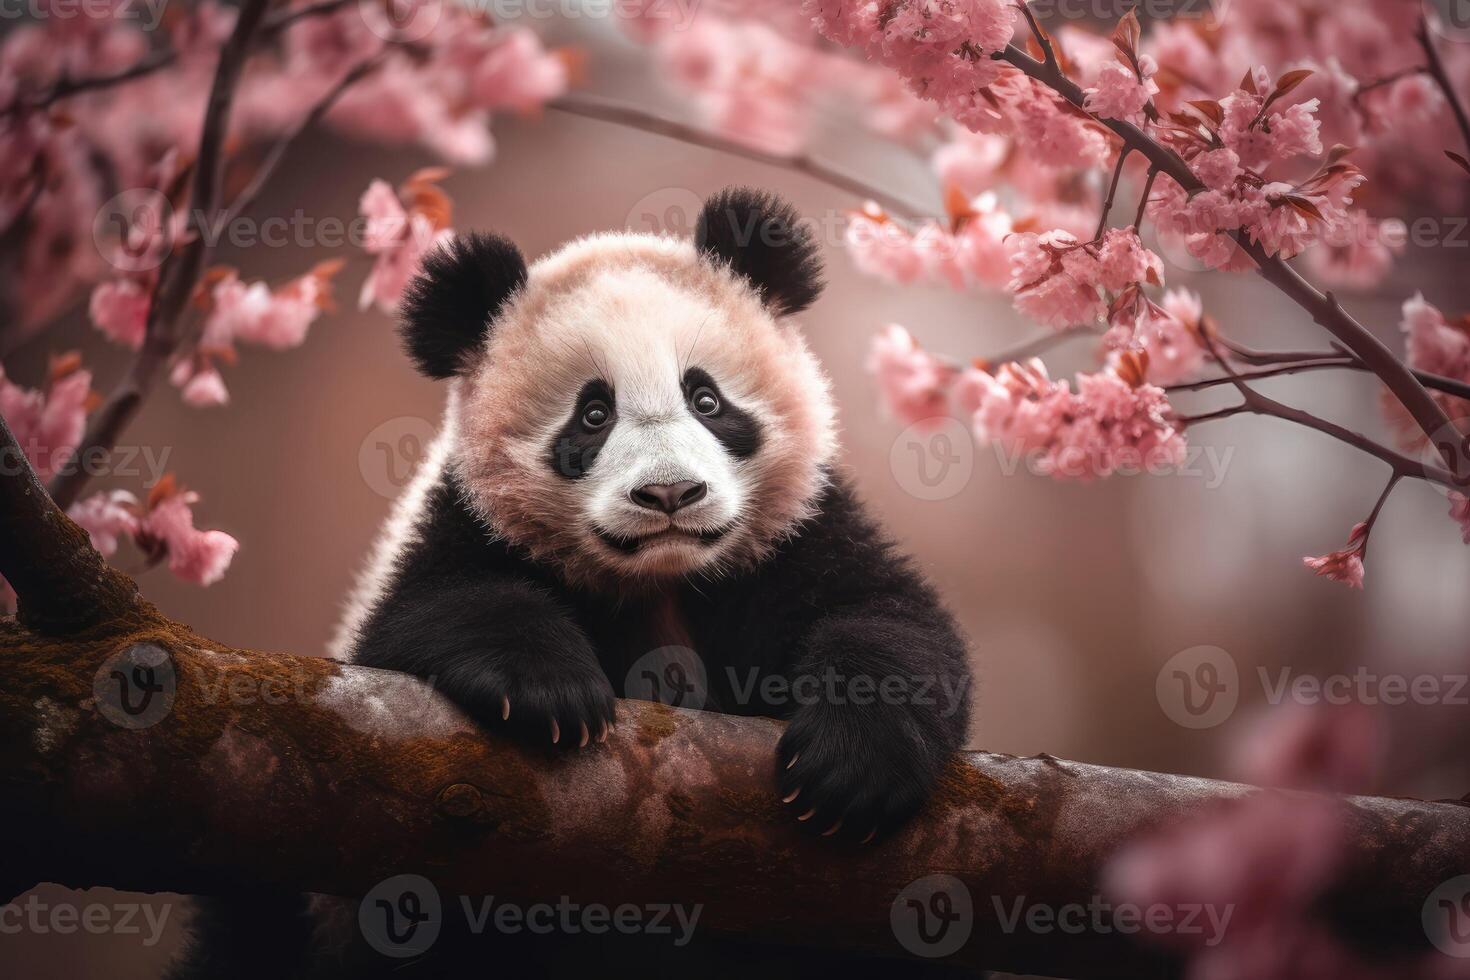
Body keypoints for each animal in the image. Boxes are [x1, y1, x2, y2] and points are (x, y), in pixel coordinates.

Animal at [172, 187, 972, 979]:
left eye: (706, 400)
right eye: (593, 414)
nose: (670, 493)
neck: (660, 578)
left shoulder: (796, 534)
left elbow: (887, 619)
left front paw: (851, 766)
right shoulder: (460, 525)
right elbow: (430, 614)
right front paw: (548, 692)